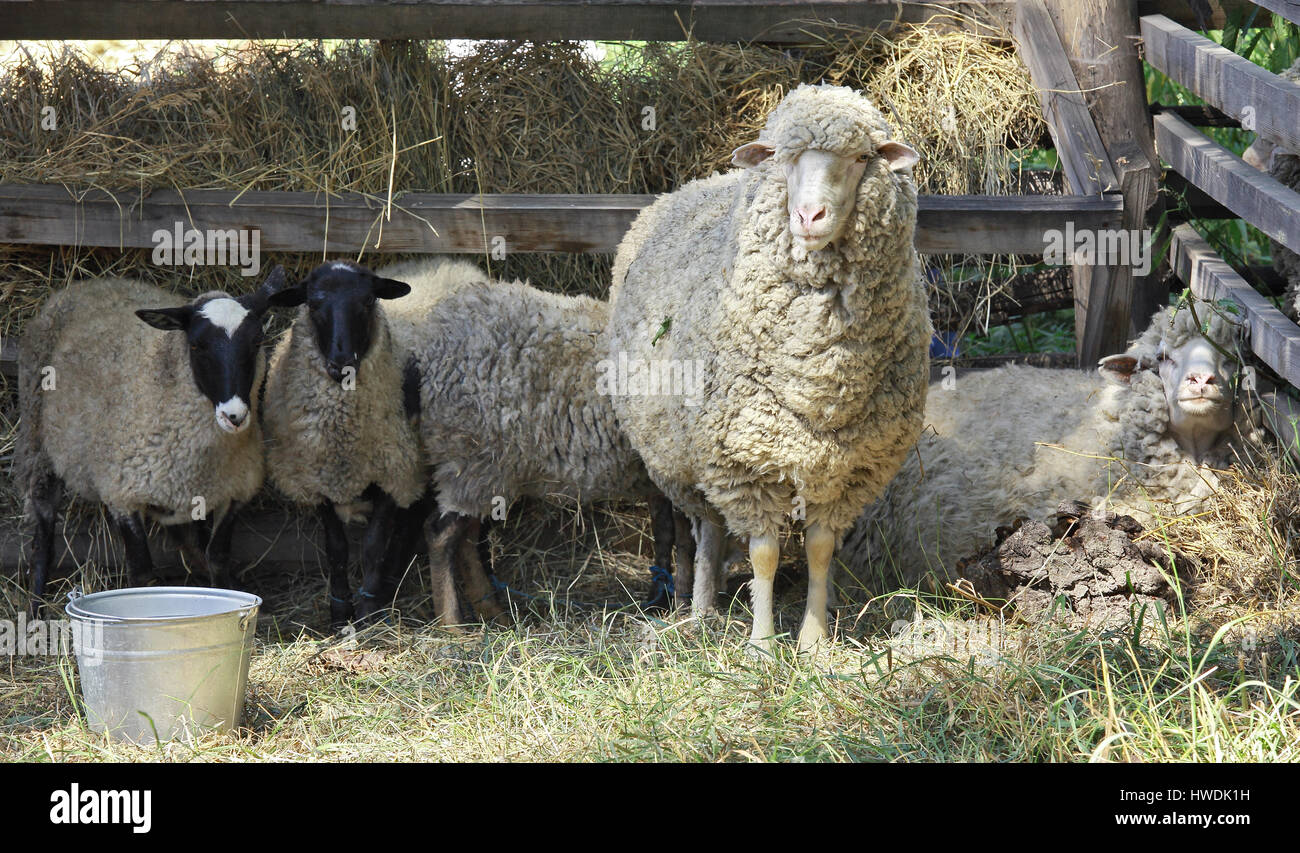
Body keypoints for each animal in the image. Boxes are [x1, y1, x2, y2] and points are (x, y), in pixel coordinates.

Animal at [16, 268, 288, 616]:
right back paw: (35, 605)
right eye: (196, 345)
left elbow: (217, 556)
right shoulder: (122, 495)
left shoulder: (236, 491)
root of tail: (87, 284)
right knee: (43, 528)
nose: (235, 415)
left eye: (256, 342)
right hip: (36, 441)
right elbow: (142, 572)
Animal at [258, 259, 483, 626]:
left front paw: (366, 612)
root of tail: (459, 267)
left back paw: (386, 585)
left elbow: (373, 545)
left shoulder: (393, 470)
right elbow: (336, 548)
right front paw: (339, 611)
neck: (343, 435)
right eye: (314, 304)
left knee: (410, 525)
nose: (342, 363)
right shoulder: (317, 475)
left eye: (367, 301)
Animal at [604, 83, 932, 653]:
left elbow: (819, 548)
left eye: (861, 159)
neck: (820, 368)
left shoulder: (848, 466)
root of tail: (696, 182)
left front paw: (814, 642)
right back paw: (701, 610)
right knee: (707, 532)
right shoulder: (742, 460)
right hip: (686, 461)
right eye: (784, 157)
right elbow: (764, 552)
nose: (810, 217)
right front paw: (761, 643)